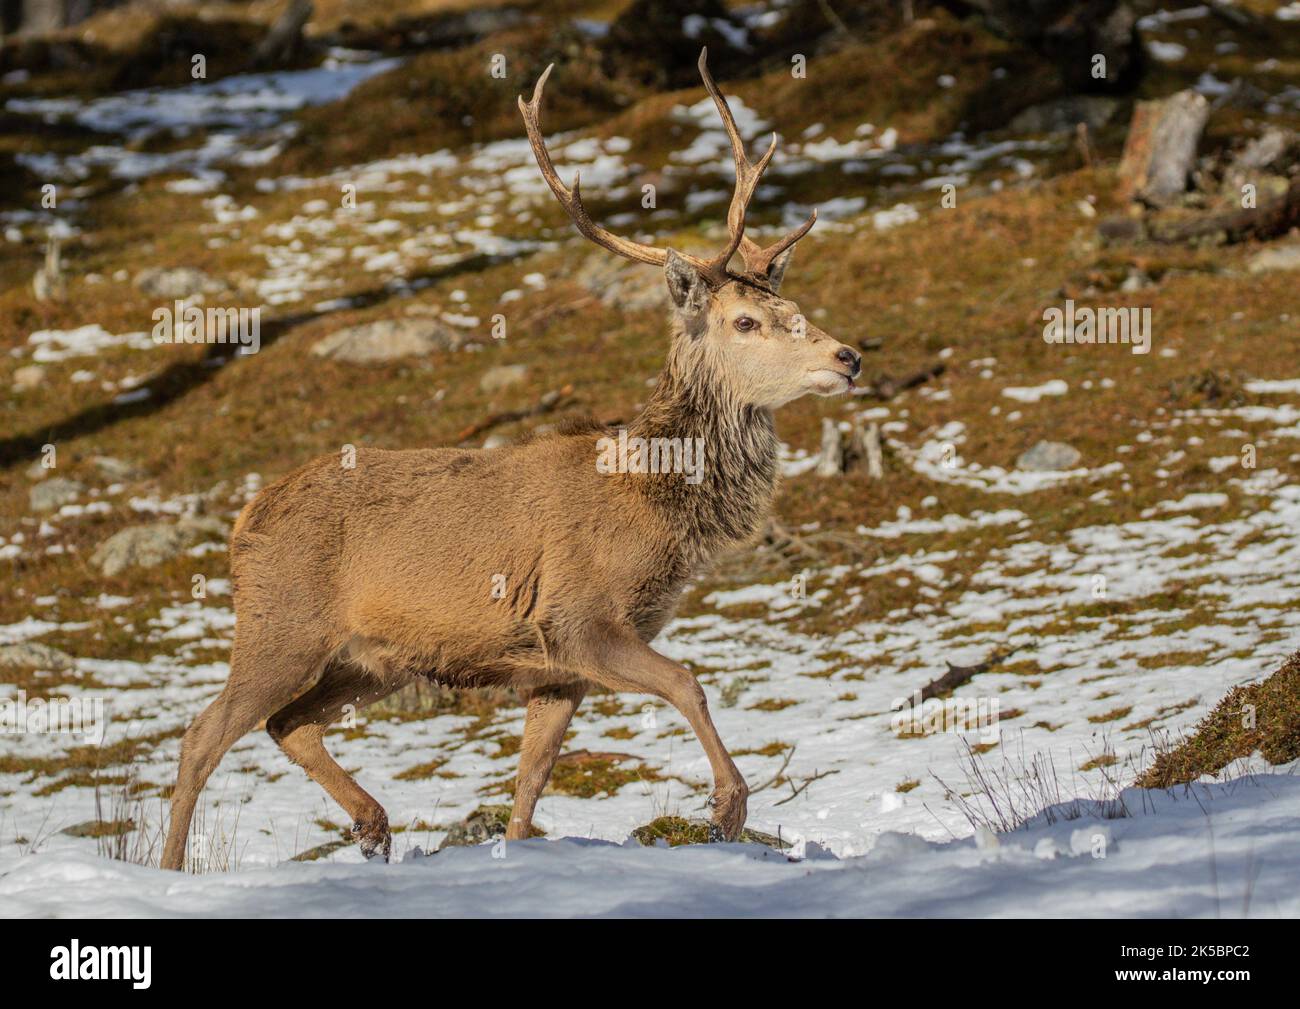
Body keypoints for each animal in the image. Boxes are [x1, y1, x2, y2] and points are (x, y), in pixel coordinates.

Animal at [160, 49, 861, 871]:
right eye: (745, 321)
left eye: (796, 309)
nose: (847, 356)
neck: (652, 507)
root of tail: (244, 519)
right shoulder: (578, 617)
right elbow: (688, 683)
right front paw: (727, 808)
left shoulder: (553, 673)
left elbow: (529, 787)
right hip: (281, 625)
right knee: (204, 733)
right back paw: (171, 868)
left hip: (369, 659)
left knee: (287, 723)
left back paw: (374, 824)